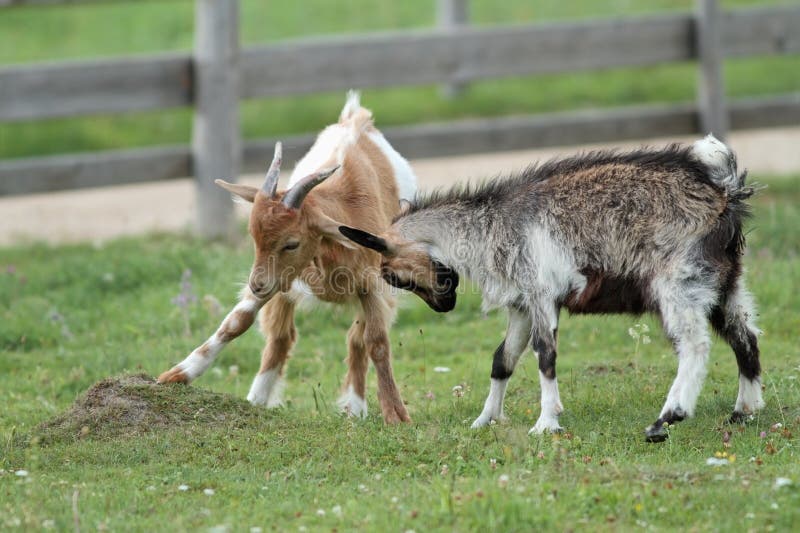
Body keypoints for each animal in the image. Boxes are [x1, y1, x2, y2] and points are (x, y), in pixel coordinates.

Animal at [158, 92, 416, 424]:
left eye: (292, 243)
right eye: (253, 236)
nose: (256, 285)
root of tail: (356, 117)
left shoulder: (371, 285)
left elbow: (377, 342)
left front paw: (396, 415)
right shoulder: (282, 279)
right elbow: (236, 322)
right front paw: (178, 374)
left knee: (356, 338)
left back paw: (354, 407)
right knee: (281, 337)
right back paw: (258, 398)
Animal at [339, 135, 763, 441]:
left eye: (392, 276)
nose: (444, 304)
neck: (491, 225)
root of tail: (724, 194)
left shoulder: (542, 293)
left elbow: (545, 355)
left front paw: (546, 423)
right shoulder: (521, 304)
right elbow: (503, 359)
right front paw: (483, 420)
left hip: (678, 280)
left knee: (695, 344)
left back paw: (667, 419)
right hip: (726, 282)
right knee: (744, 335)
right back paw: (745, 410)